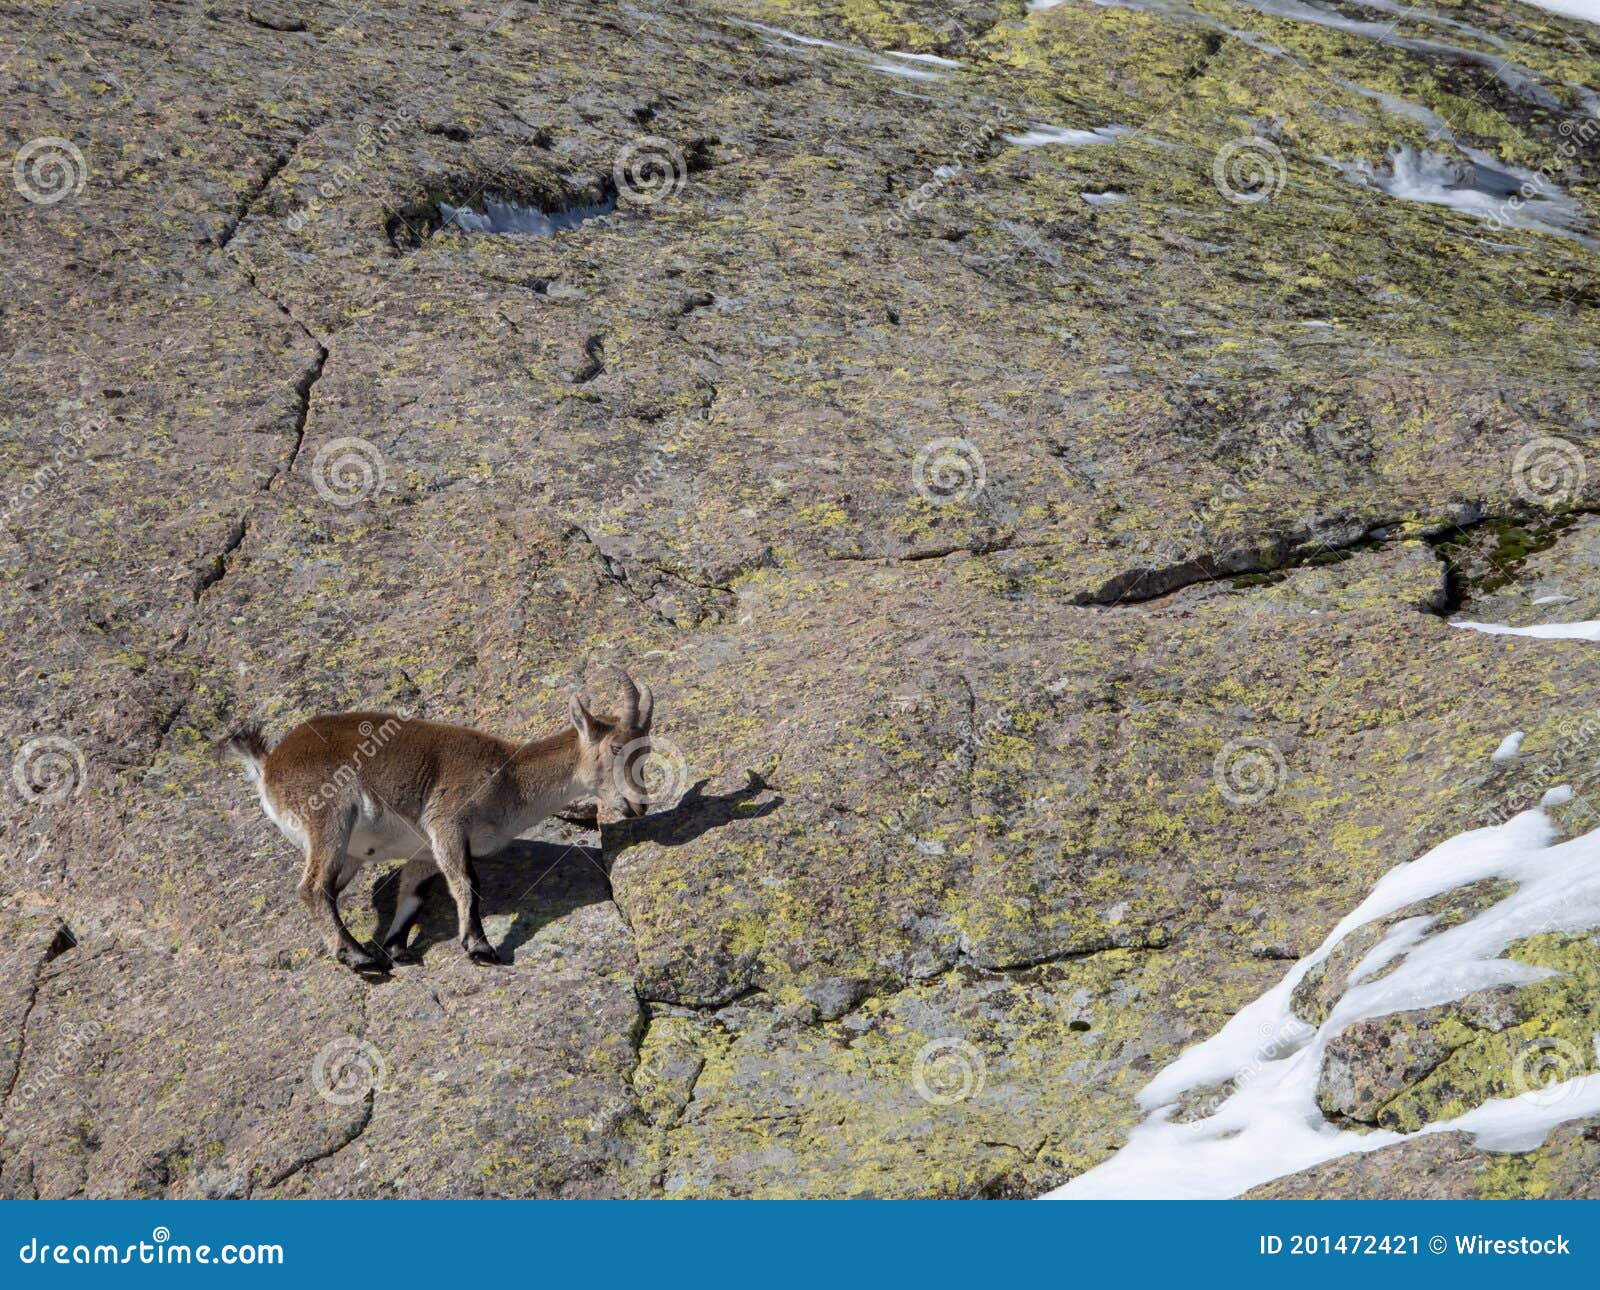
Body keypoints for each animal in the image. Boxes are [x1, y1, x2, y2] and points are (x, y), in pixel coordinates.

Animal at [215, 676, 654, 972]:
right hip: (330, 816)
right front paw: (479, 947)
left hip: (349, 854)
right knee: (311, 888)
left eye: (646, 751)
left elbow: (411, 895)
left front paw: (397, 949)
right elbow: (466, 883)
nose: (639, 805)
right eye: (616, 746)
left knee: (327, 891)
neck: (509, 776)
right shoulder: (447, 824)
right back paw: (358, 957)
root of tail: (269, 763)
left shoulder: (425, 850)